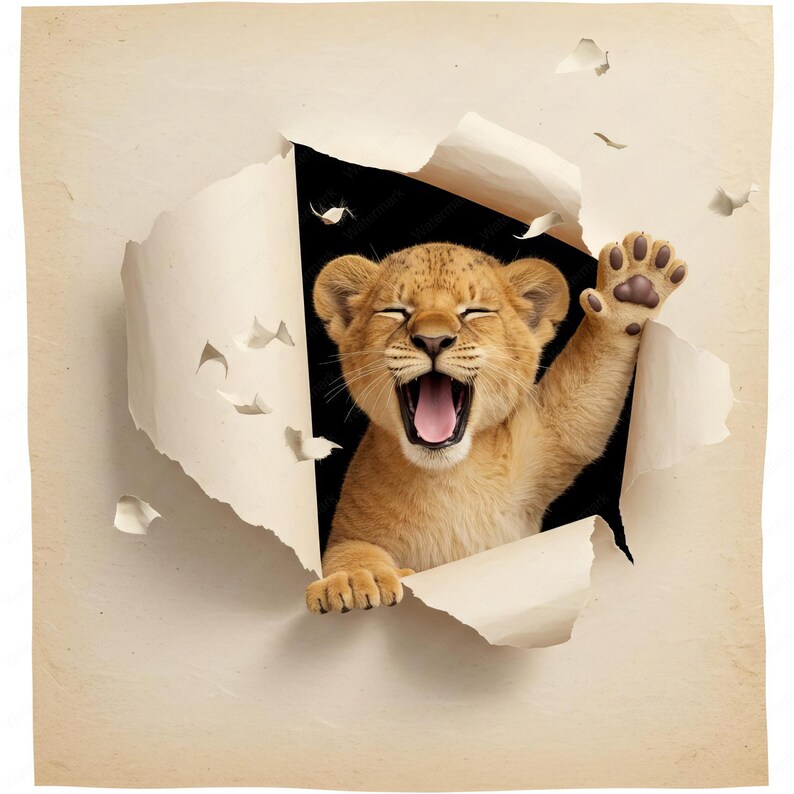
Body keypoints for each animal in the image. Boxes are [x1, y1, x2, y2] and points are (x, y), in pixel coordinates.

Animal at [306, 232, 687, 613]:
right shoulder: (350, 529)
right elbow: (348, 551)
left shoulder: (548, 435)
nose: (433, 340)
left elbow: (583, 398)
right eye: (395, 311)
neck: (445, 476)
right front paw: (357, 579)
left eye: (474, 311)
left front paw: (636, 286)